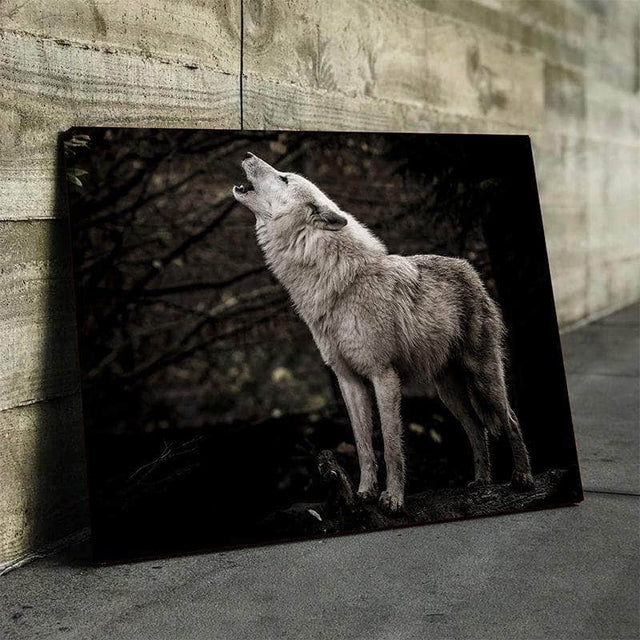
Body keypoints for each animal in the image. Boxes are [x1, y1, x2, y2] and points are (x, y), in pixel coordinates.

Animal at [233, 152, 534, 513]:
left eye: (284, 178)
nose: (248, 155)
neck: (338, 284)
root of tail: (470, 269)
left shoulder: (384, 375)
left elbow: (391, 445)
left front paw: (393, 499)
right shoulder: (348, 380)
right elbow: (363, 445)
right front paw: (363, 493)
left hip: (483, 376)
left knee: (511, 419)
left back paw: (522, 478)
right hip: (447, 391)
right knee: (477, 429)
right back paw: (482, 482)